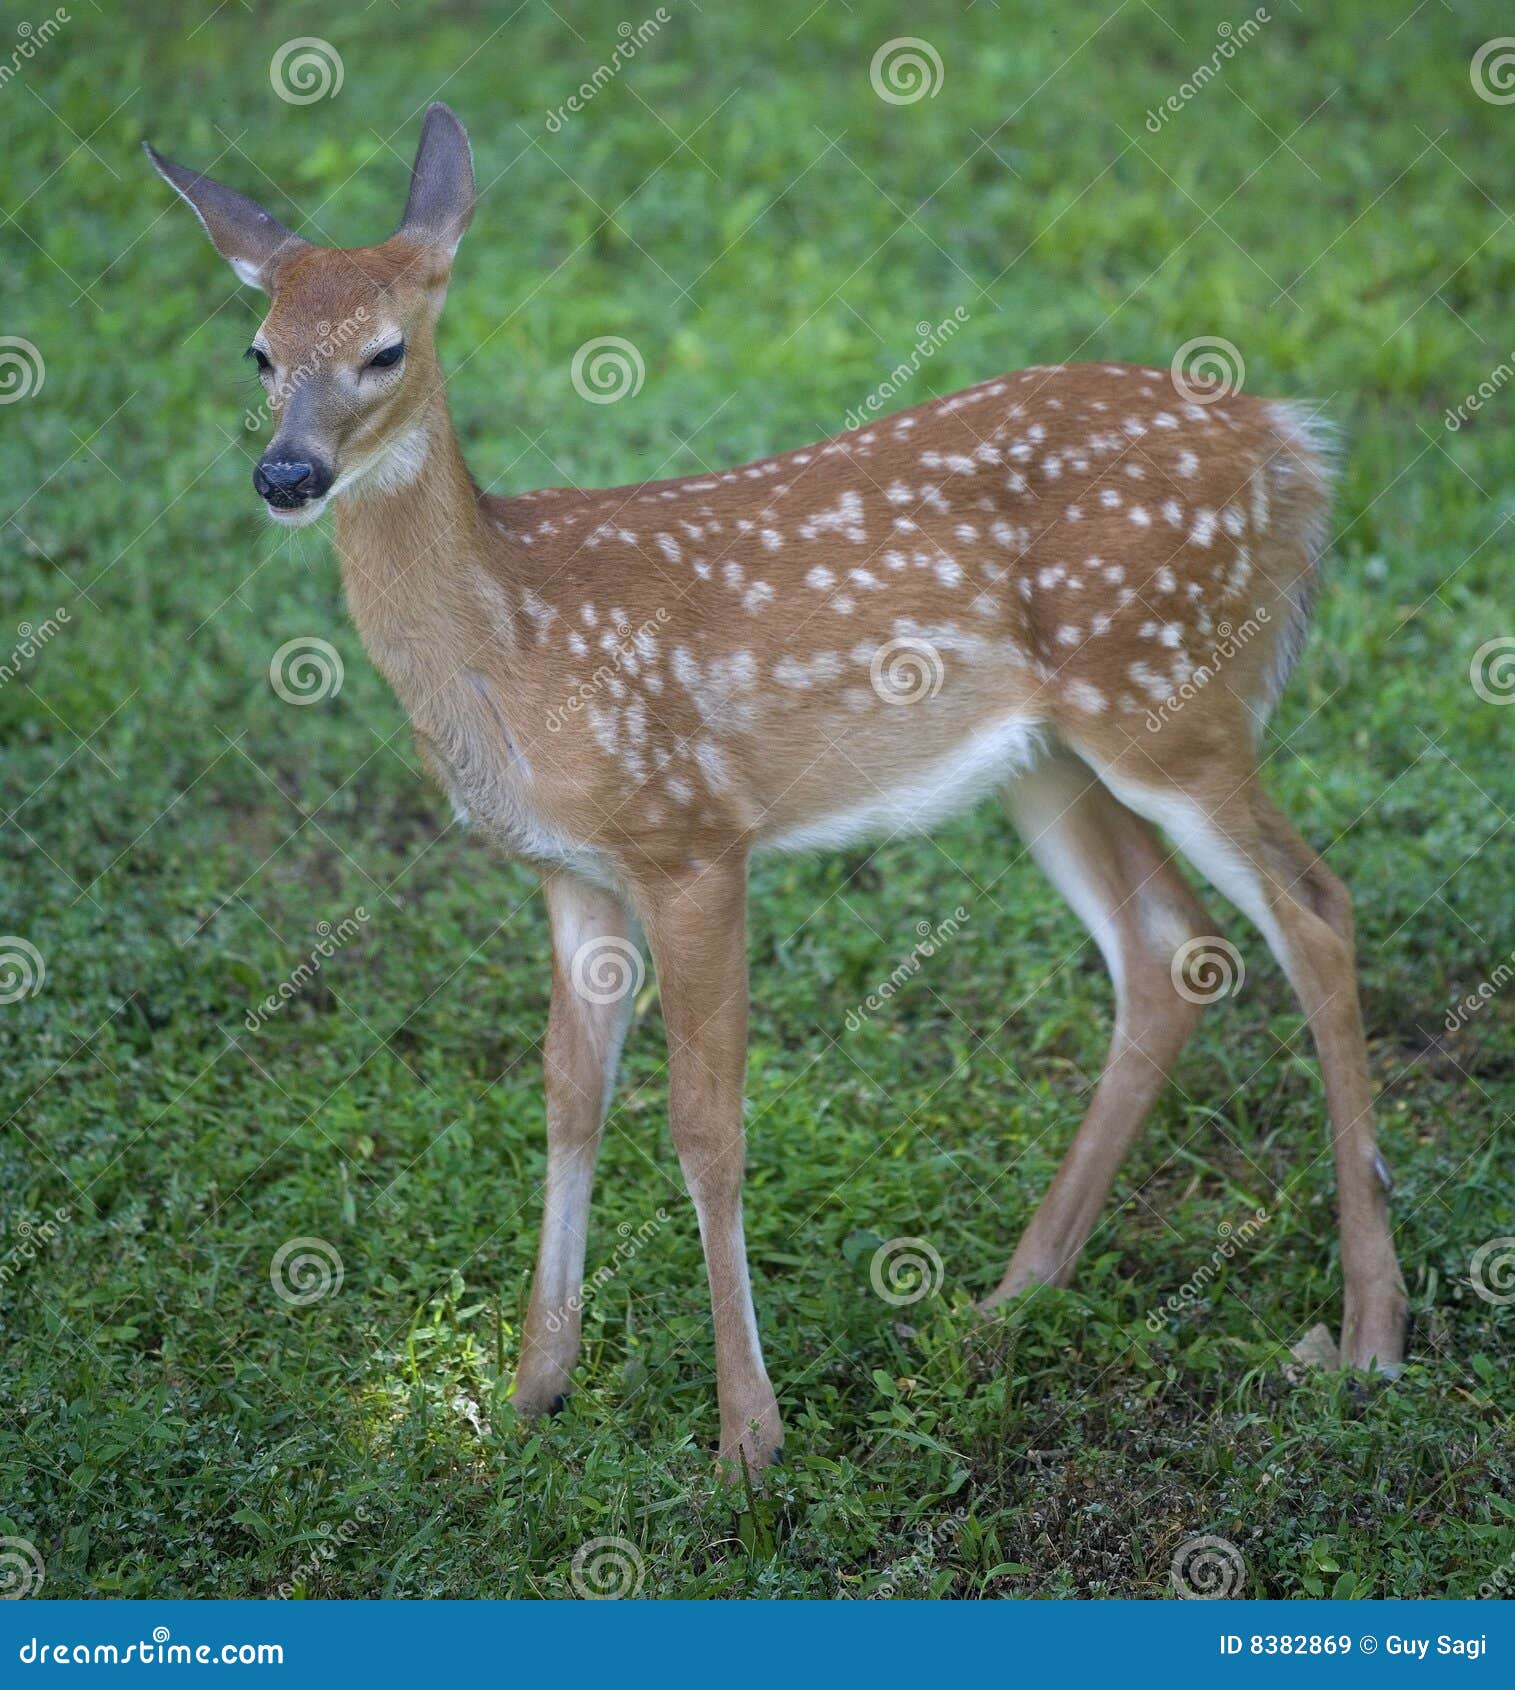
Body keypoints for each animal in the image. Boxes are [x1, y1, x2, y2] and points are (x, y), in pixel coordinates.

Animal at [146, 104, 1407, 1475]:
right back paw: (1005, 1304)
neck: (515, 643)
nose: (286, 474)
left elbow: (708, 1125)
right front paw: (535, 1389)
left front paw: (748, 1443)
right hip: (1054, 758)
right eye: (260, 352)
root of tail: (1292, 448)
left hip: (1173, 701)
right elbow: (569, 1098)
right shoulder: (570, 873)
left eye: (386, 350)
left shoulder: (693, 836)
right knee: (1173, 950)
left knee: (1315, 909)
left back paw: (1366, 1336)